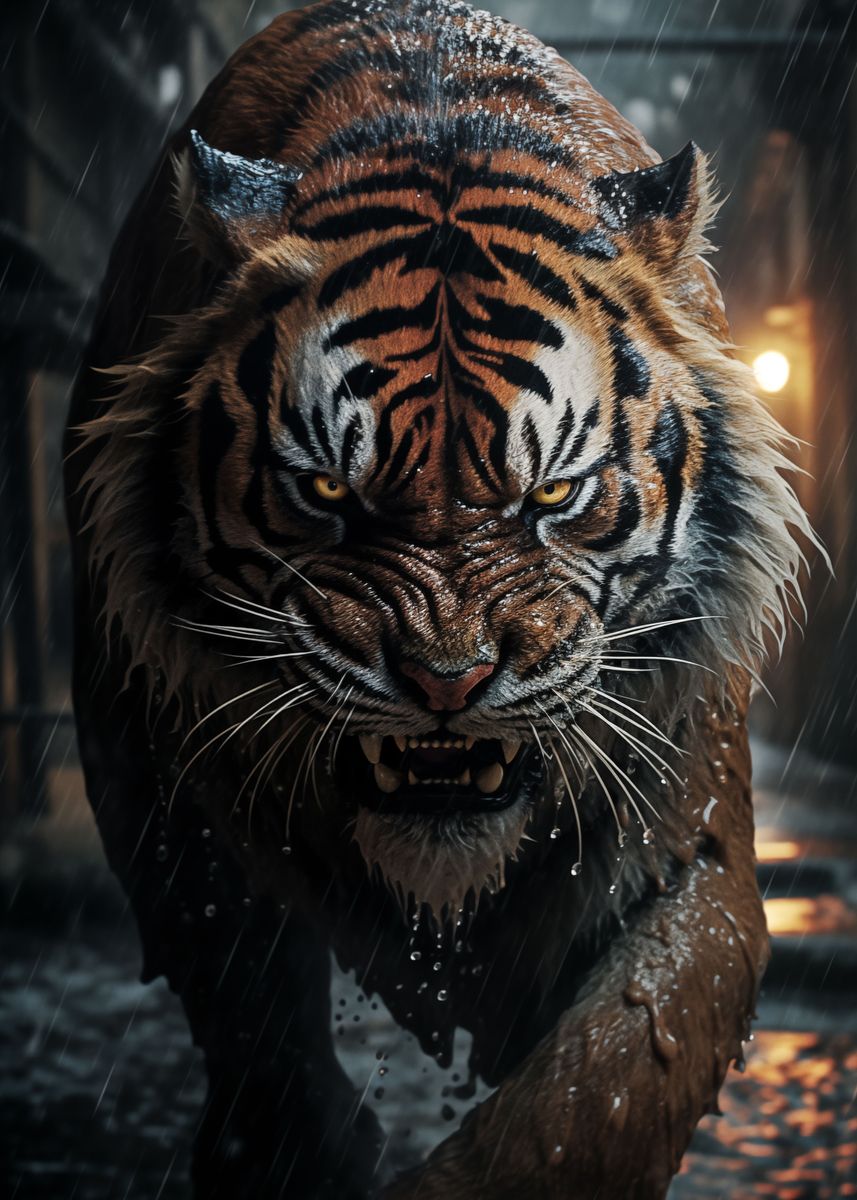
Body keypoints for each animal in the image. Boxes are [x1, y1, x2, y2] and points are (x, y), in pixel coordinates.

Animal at [64, 1, 813, 1197]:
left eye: (551, 493)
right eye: (328, 490)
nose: (447, 683)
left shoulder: (689, 849)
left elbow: (589, 1096)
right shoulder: (153, 785)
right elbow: (258, 1027)